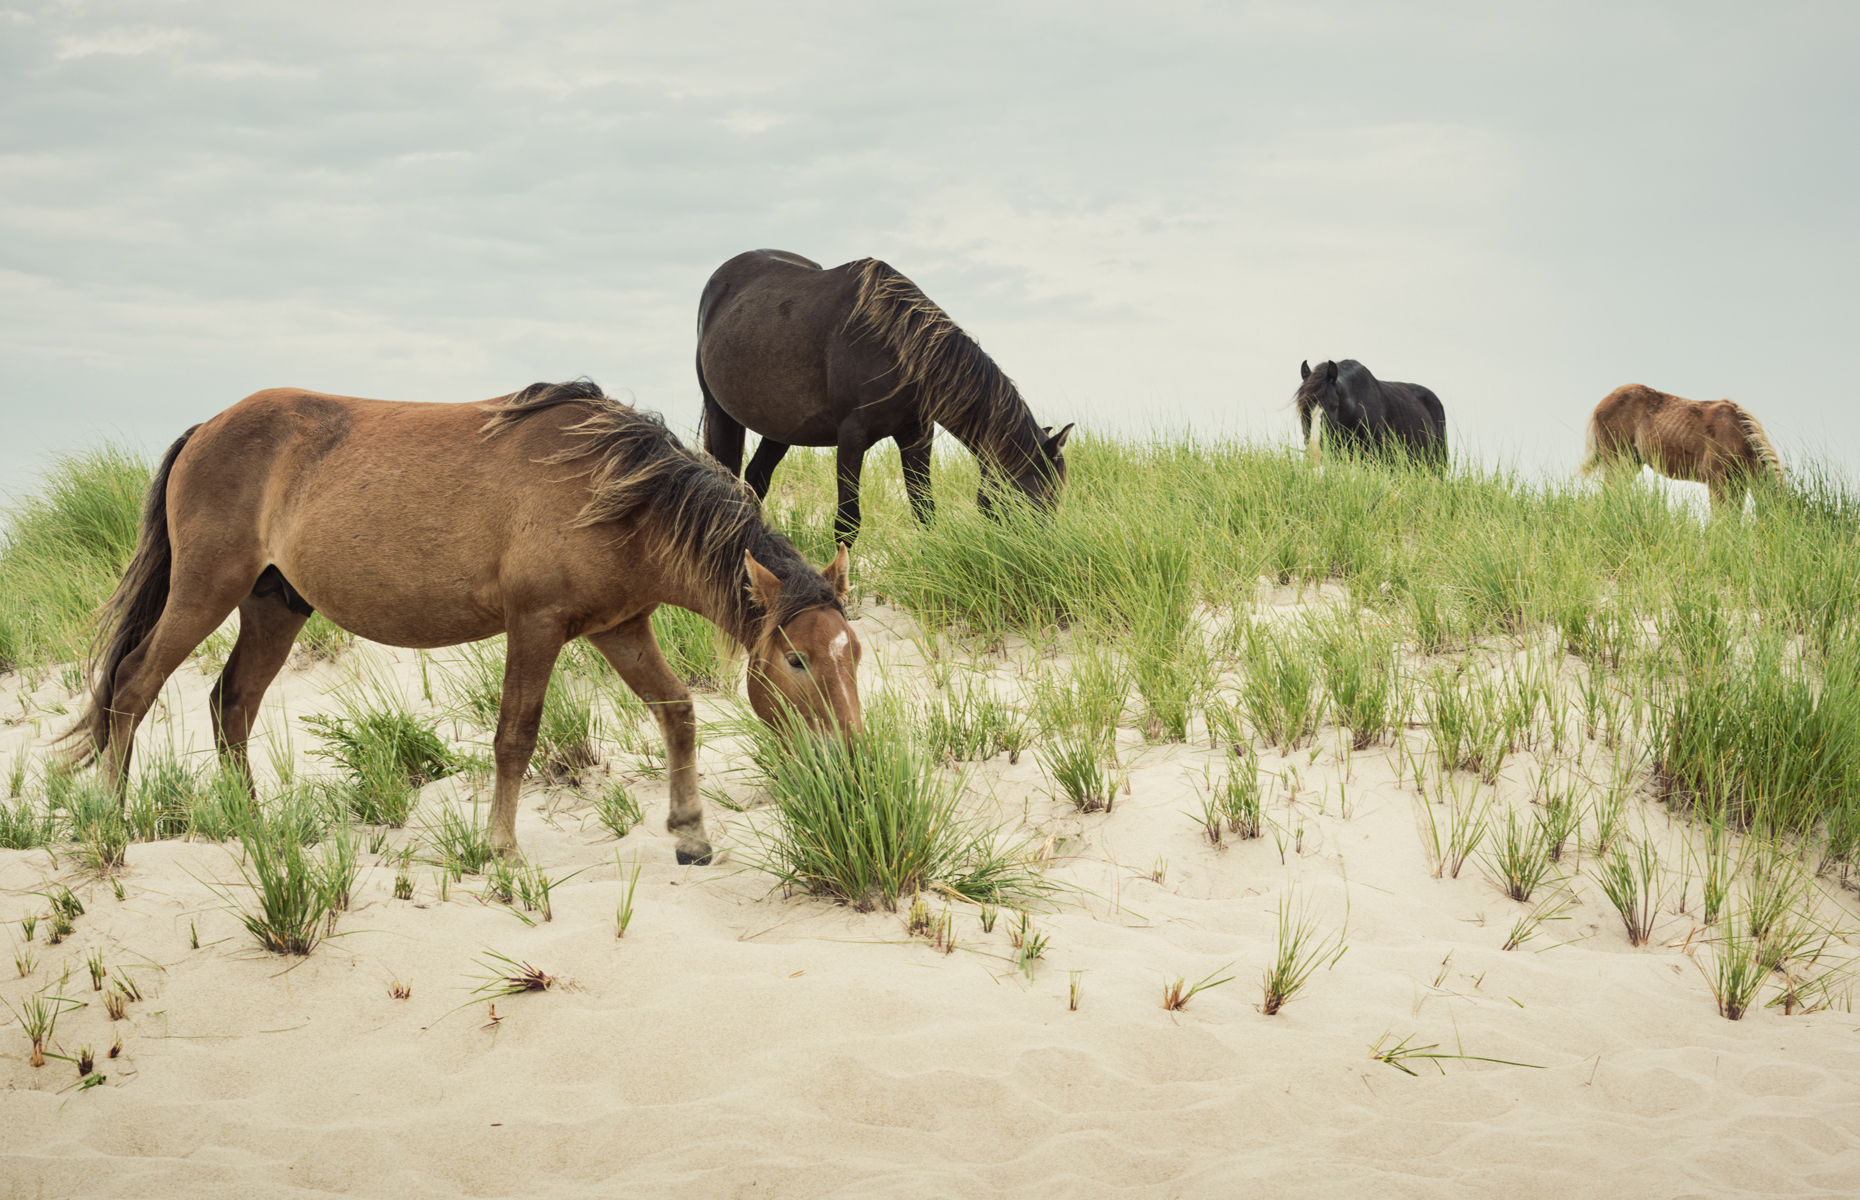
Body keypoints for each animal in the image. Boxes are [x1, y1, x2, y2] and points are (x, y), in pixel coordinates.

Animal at [66, 379, 863, 865]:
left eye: (853, 655)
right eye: (796, 660)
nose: (854, 762)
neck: (615, 492)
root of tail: (209, 427)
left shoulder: (621, 627)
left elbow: (677, 711)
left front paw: (690, 833)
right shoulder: (536, 625)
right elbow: (515, 736)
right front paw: (501, 849)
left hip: (272, 606)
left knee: (232, 704)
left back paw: (254, 829)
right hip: (205, 591)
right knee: (132, 688)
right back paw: (111, 824)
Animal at [696, 249, 1074, 543]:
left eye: (1056, 499)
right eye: (1032, 499)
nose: (1038, 555)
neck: (895, 345)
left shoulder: (916, 436)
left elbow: (924, 512)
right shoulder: (851, 438)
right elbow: (847, 523)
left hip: (781, 426)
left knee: (756, 478)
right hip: (721, 414)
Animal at [1582, 384, 1784, 511]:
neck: (1736, 433)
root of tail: (1601, 404)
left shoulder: (1737, 484)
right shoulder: (1717, 480)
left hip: (1632, 464)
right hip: (1617, 461)